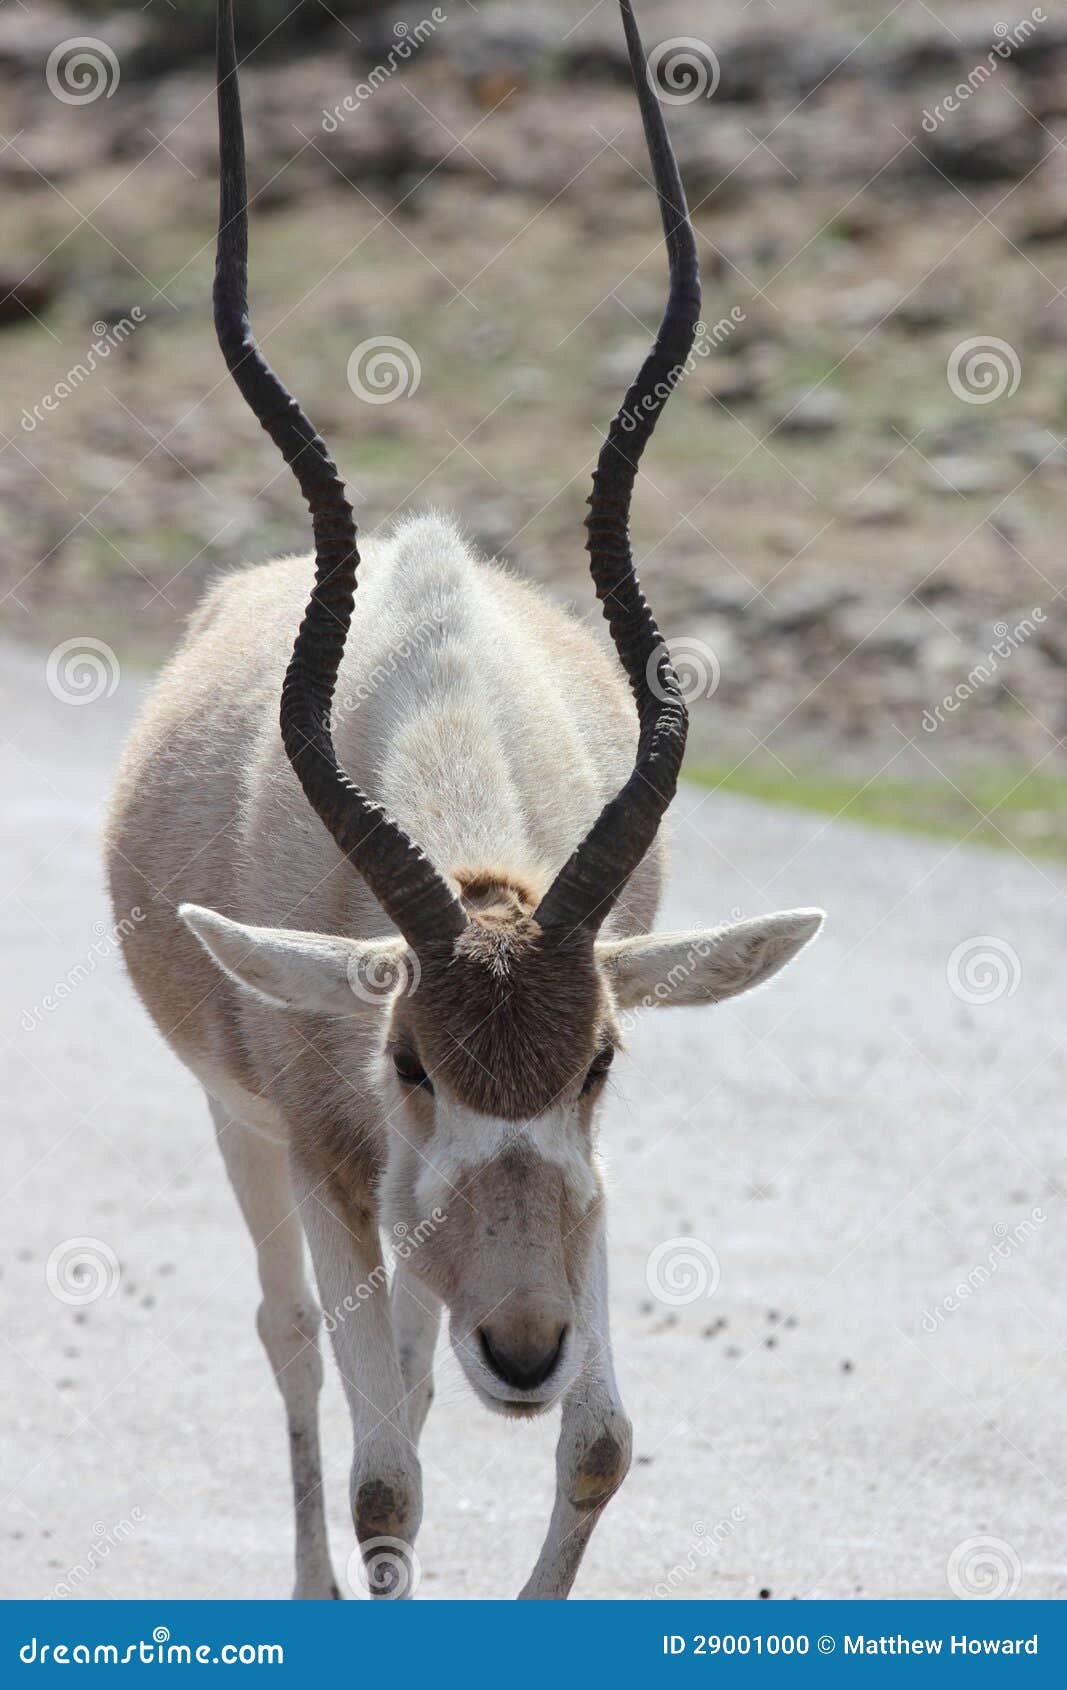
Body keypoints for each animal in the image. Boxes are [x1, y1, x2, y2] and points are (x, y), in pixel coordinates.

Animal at [106, 0, 823, 1600]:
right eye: (414, 1059)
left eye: (598, 1060)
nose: (525, 1343)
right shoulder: (330, 1152)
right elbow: (384, 1475)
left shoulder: (585, 1175)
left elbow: (596, 1443)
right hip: (253, 1140)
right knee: (302, 1349)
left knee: (413, 1373)